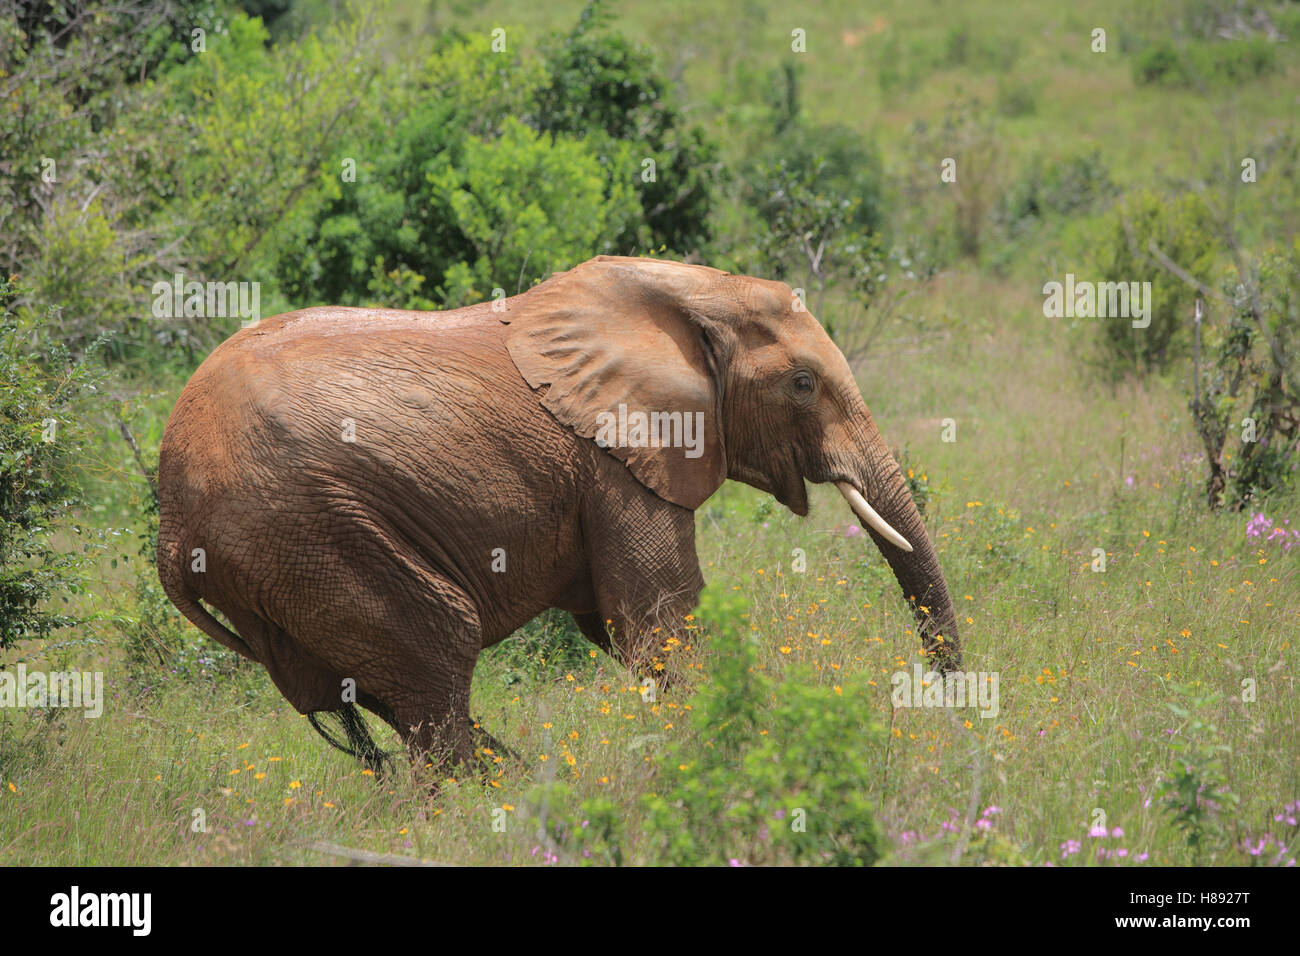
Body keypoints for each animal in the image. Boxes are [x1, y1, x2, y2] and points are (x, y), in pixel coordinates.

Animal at [156, 255, 960, 771]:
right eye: (801, 383)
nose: (947, 707)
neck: (691, 291)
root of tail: (169, 529)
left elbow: (613, 625)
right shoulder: (614, 463)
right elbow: (659, 625)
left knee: (378, 694)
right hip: (315, 531)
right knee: (435, 663)